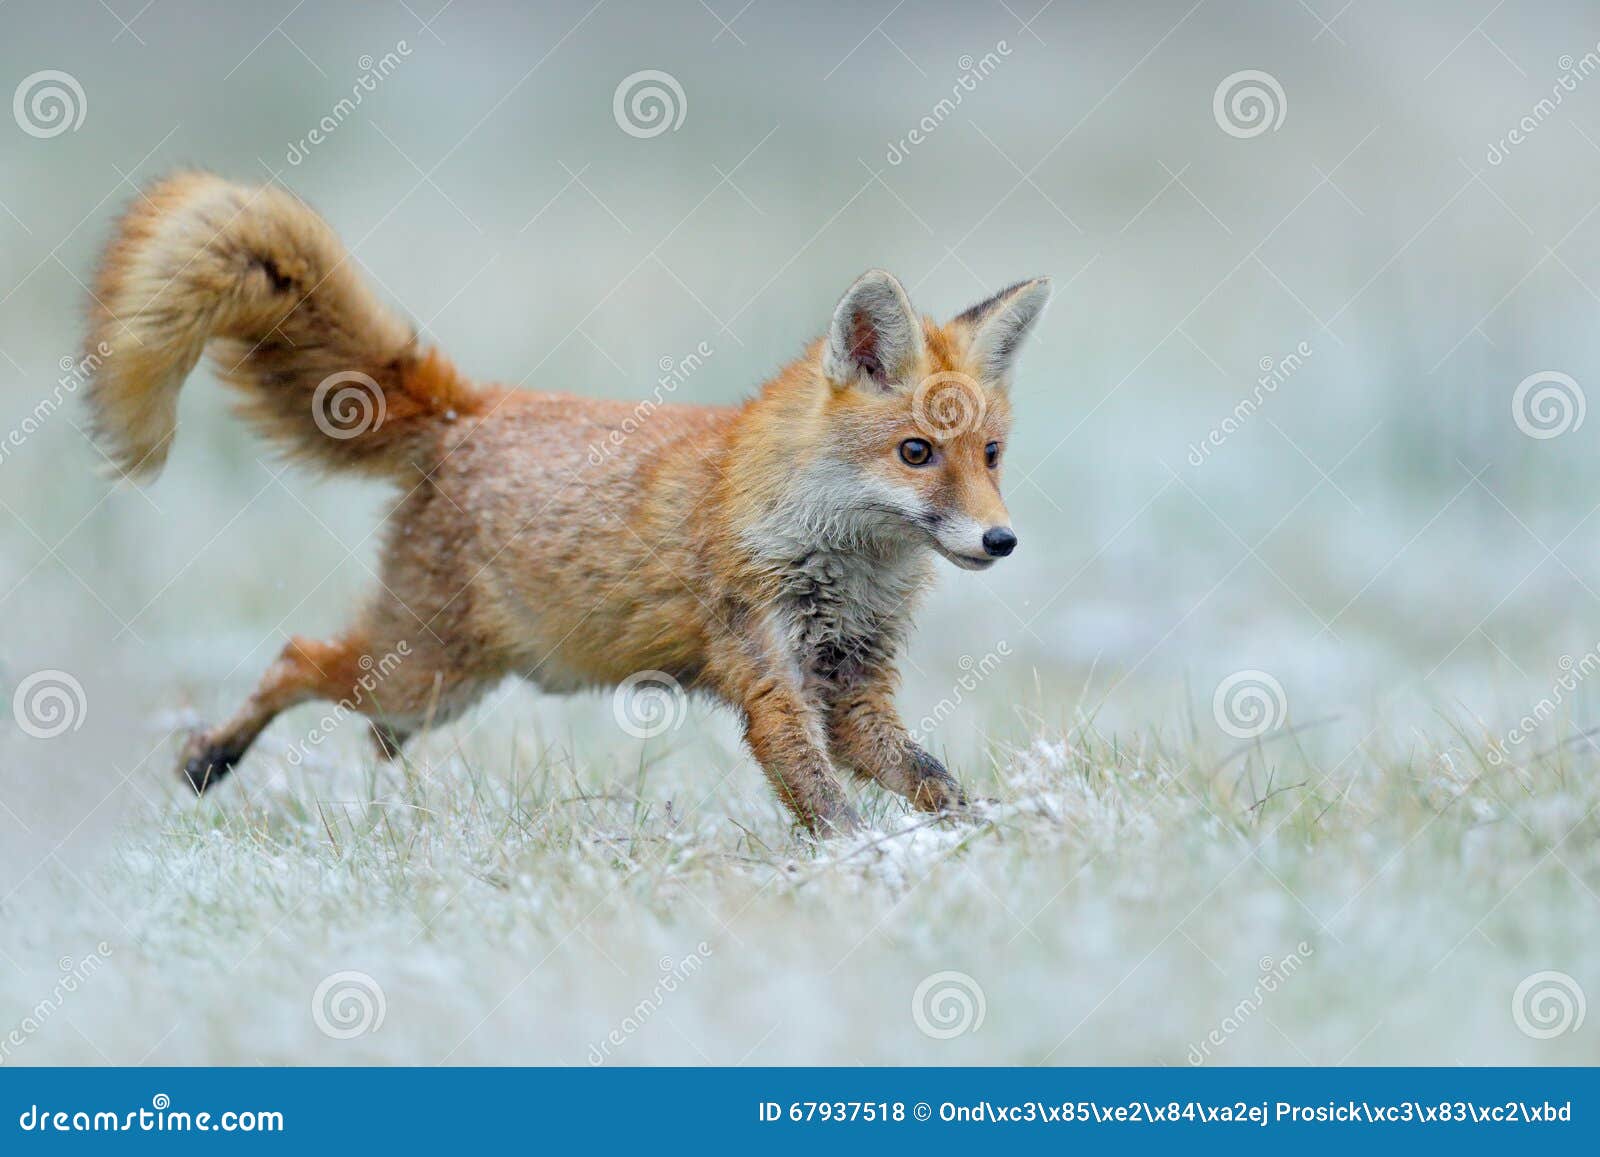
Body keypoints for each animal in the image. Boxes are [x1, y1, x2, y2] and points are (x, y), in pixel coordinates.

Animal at [84, 172, 1050, 836]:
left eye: (991, 455)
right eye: (916, 453)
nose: (1001, 540)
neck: (839, 561)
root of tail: (470, 407)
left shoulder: (852, 691)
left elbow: (934, 778)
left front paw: (989, 838)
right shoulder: (771, 686)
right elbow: (829, 806)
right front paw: (865, 865)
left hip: (439, 687)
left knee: (351, 704)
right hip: (423, 672)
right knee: (293, 657)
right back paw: (209, 756)